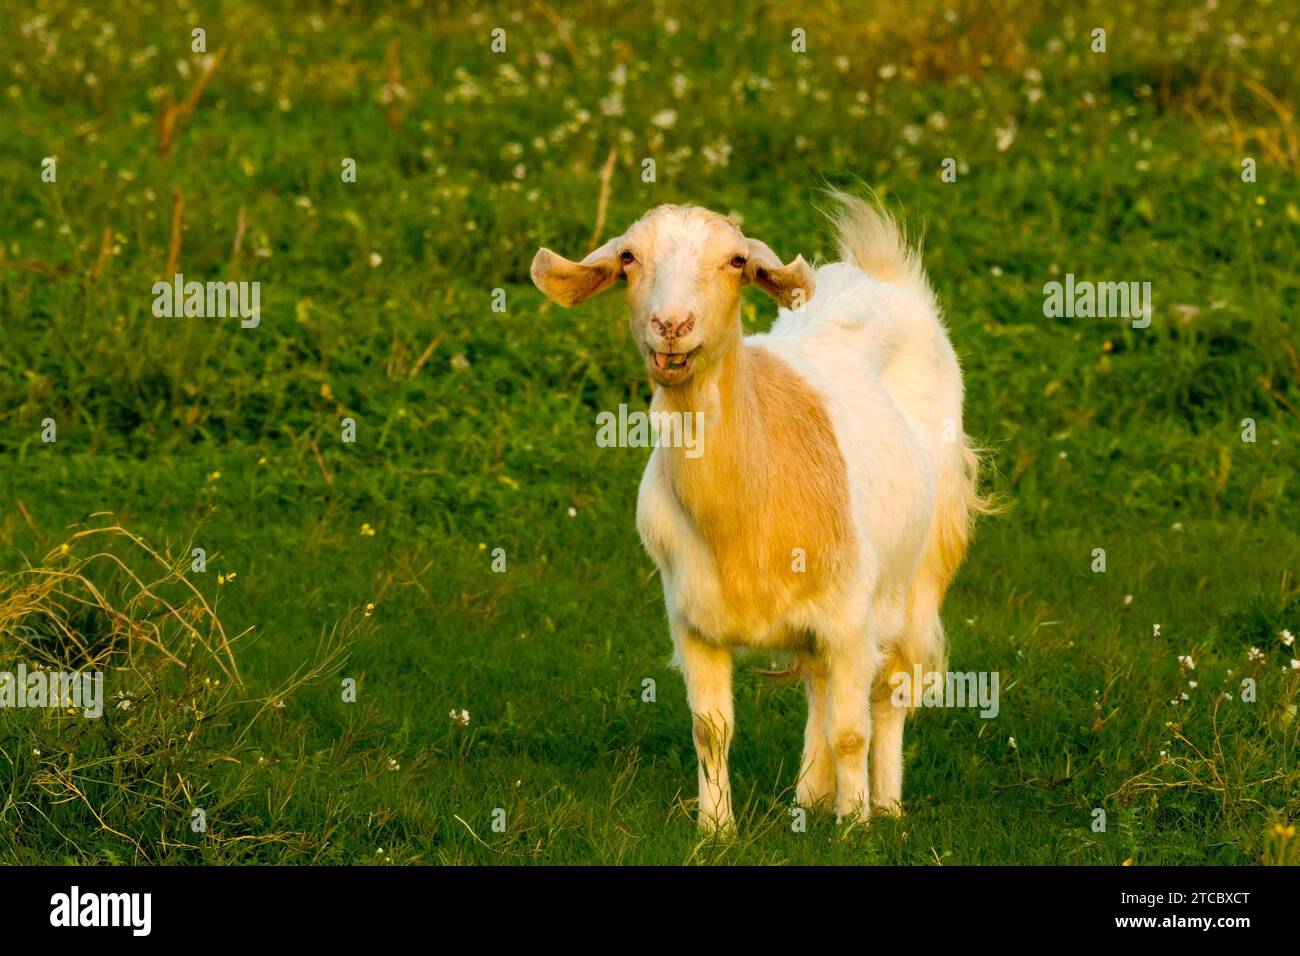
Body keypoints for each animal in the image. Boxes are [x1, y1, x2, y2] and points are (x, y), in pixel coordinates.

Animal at [531, 192, 989, 832]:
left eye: (735, 261)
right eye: (628, 257)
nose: (671, 326)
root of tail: (878, 277)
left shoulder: (852, 616)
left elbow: (852, 731)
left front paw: (855, 830)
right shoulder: (692, 618)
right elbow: (711, 729)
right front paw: (716, 829)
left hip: (922, 570)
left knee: (890, 693)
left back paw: (886, 805)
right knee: (819, 687)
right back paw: (809, 796)